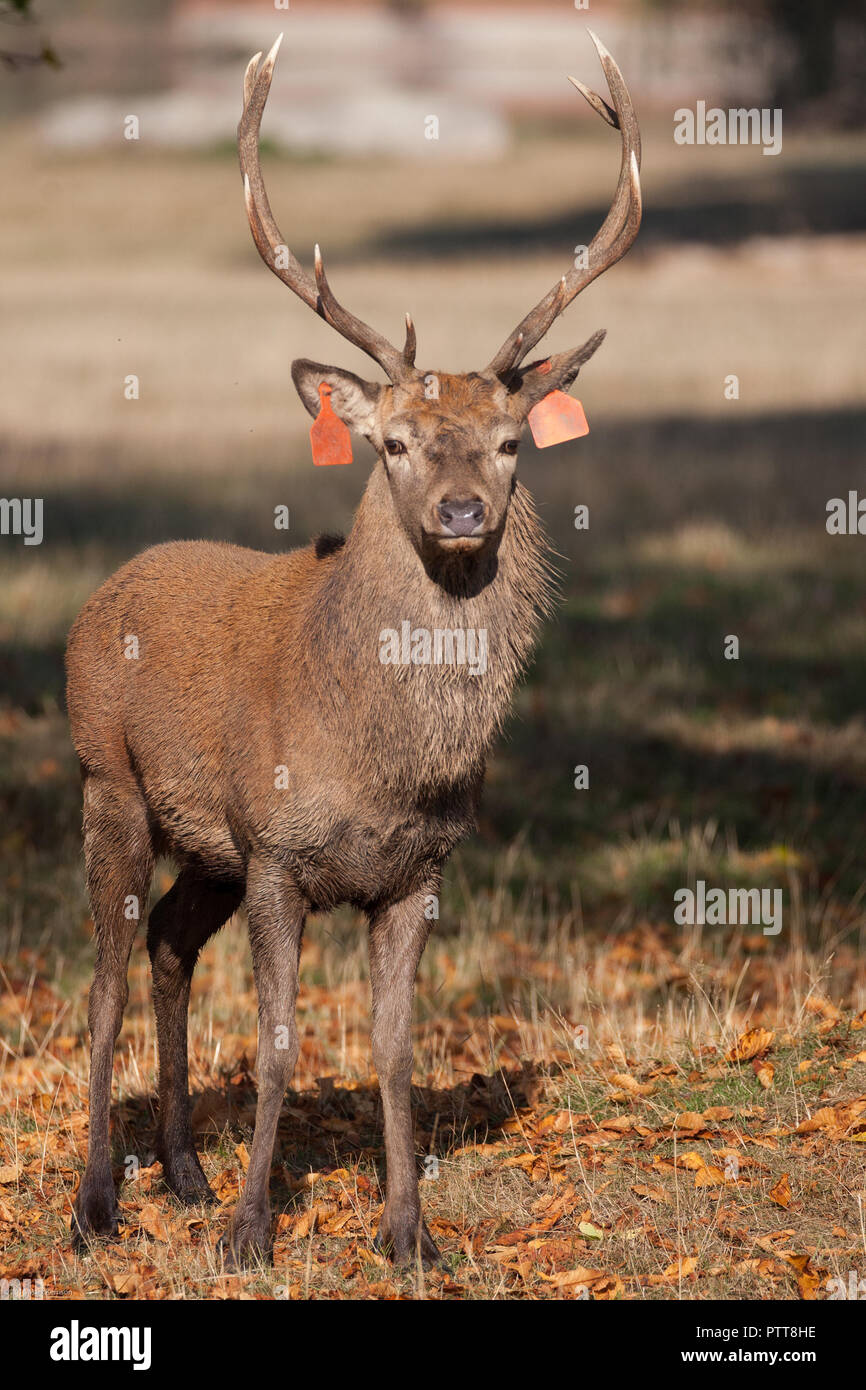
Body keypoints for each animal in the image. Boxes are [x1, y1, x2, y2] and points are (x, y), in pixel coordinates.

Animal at [66, 30, 640, 1269]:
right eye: (394, 443)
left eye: (510, 442)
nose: (464, 511)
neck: (382, 764)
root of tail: (94, 599)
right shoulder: (279, 849)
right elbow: (282, 1038)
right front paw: (250, 1233)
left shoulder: (415, 872)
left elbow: (392, 1046)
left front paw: (408, 1230)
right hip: (109, 784)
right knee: (101, 985)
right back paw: (94, 1202)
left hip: (208, 846)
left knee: (169, 947)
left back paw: (181, 1170)